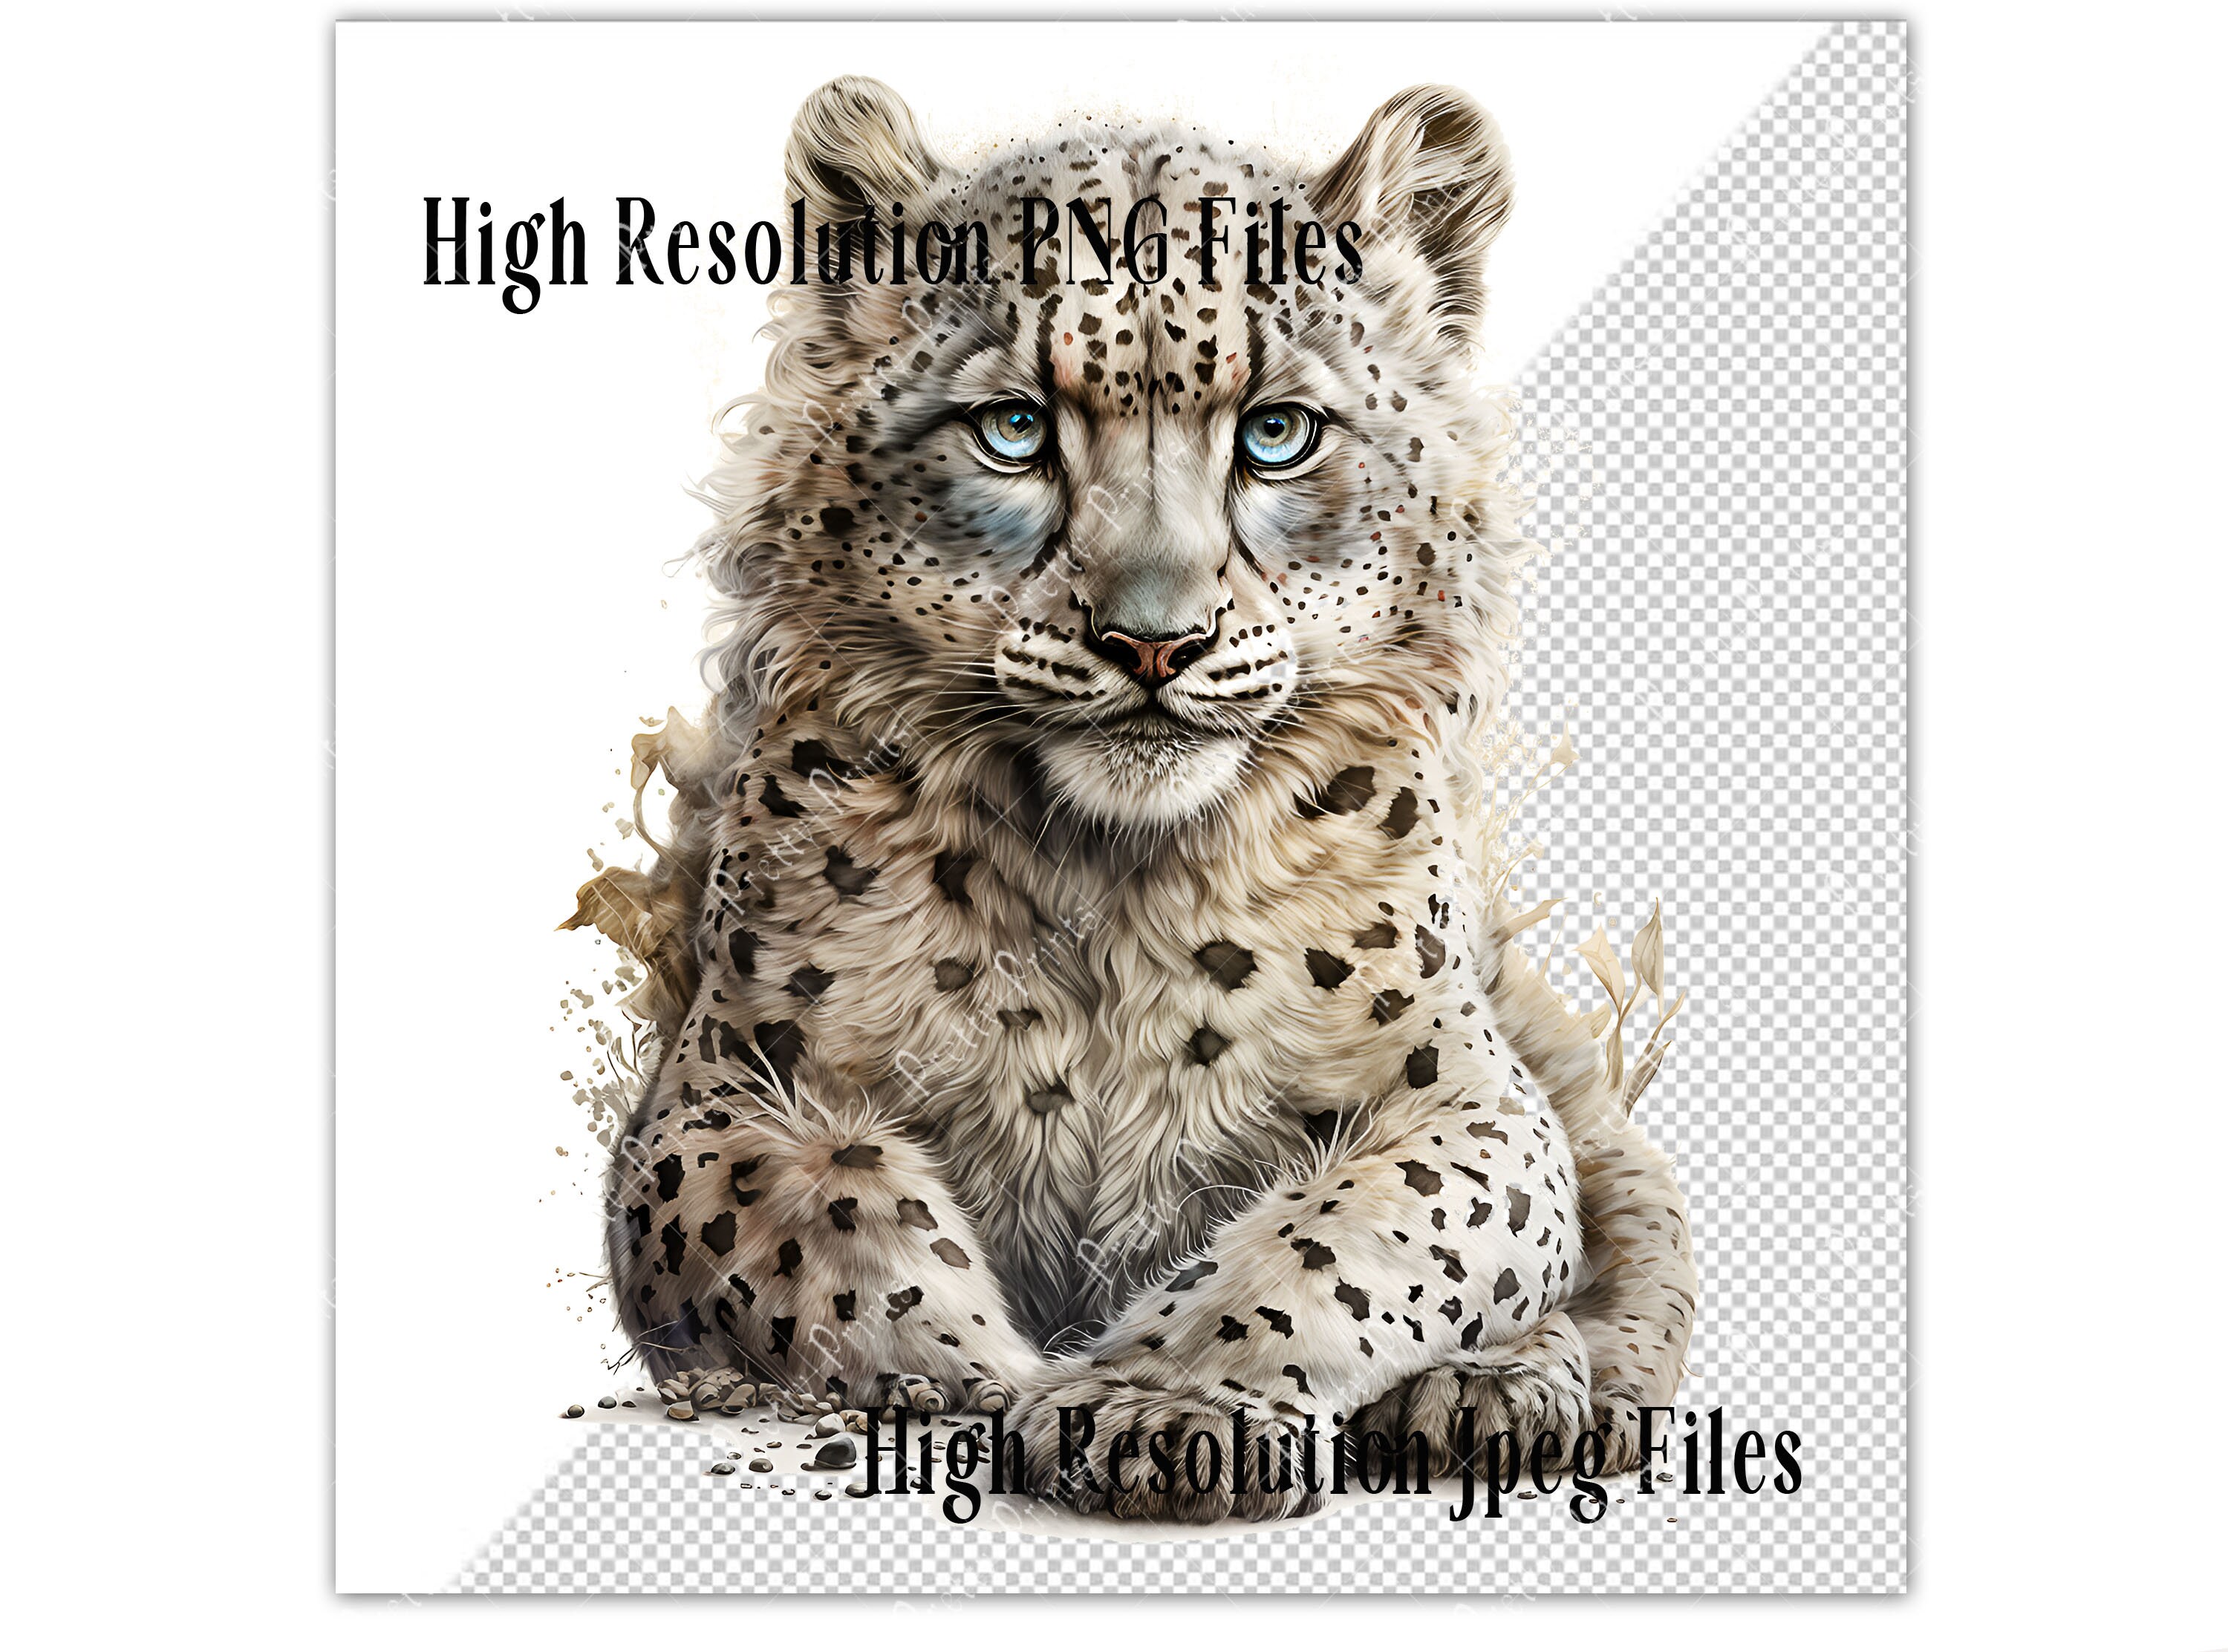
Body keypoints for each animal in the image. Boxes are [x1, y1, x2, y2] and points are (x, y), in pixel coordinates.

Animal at [587, 75, 1697, 1523]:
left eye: (1278, 432)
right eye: (1013, 428)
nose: (1154, 640)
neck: (1110, 883)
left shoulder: (1465, 1095)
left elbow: (1354, 1238)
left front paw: (1158, 1406)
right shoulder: (729, 1092)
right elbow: (838, 1230)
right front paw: (988, 1384)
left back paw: (1491, 1398)